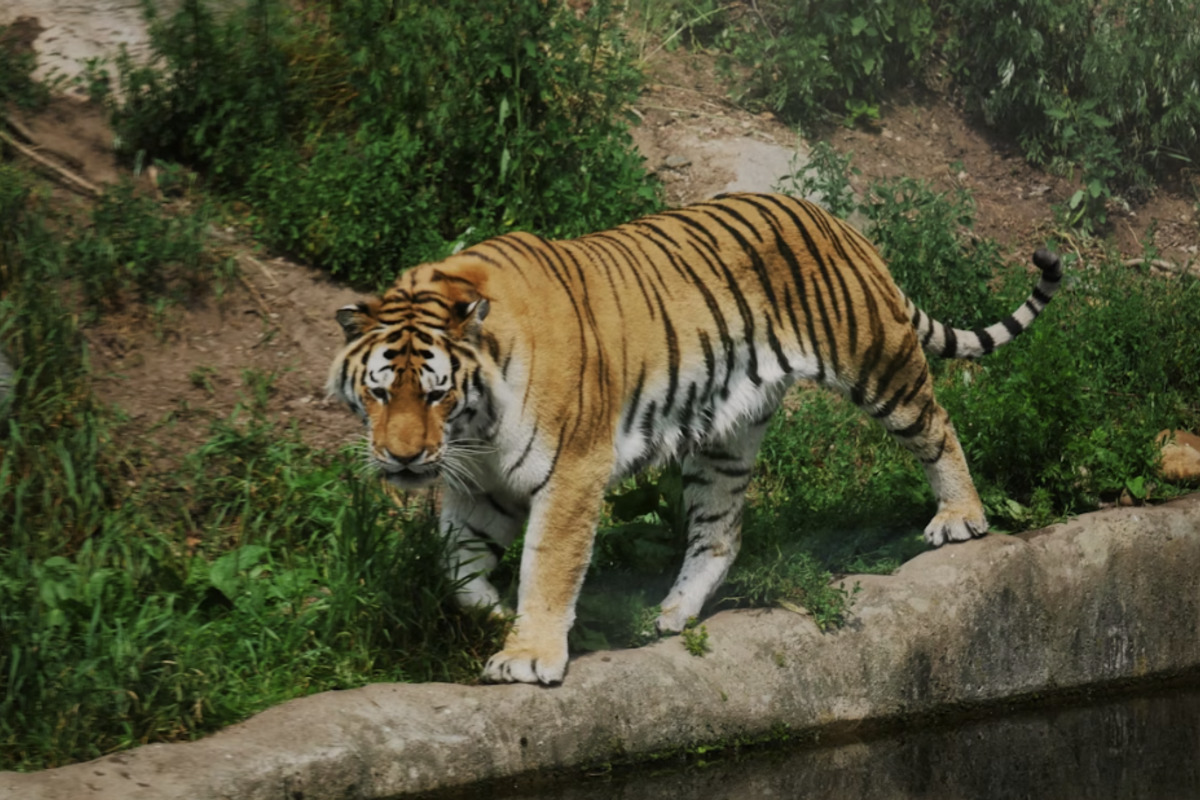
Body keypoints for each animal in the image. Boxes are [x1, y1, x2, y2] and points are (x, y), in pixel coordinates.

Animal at [327, 191, 1062, 686]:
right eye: (380, 391)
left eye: (435, 392)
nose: (402, 459)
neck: (474, 431)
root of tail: (834, 219)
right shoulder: (480, 484)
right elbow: (455, 565)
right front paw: (493, 615)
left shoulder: (571, 472)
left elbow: (549, 565)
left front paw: (529, 655)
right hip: (723, 440)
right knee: (721, 532)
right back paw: (672, 614)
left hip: (877, 362)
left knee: (937, 426)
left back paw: (961, 519)